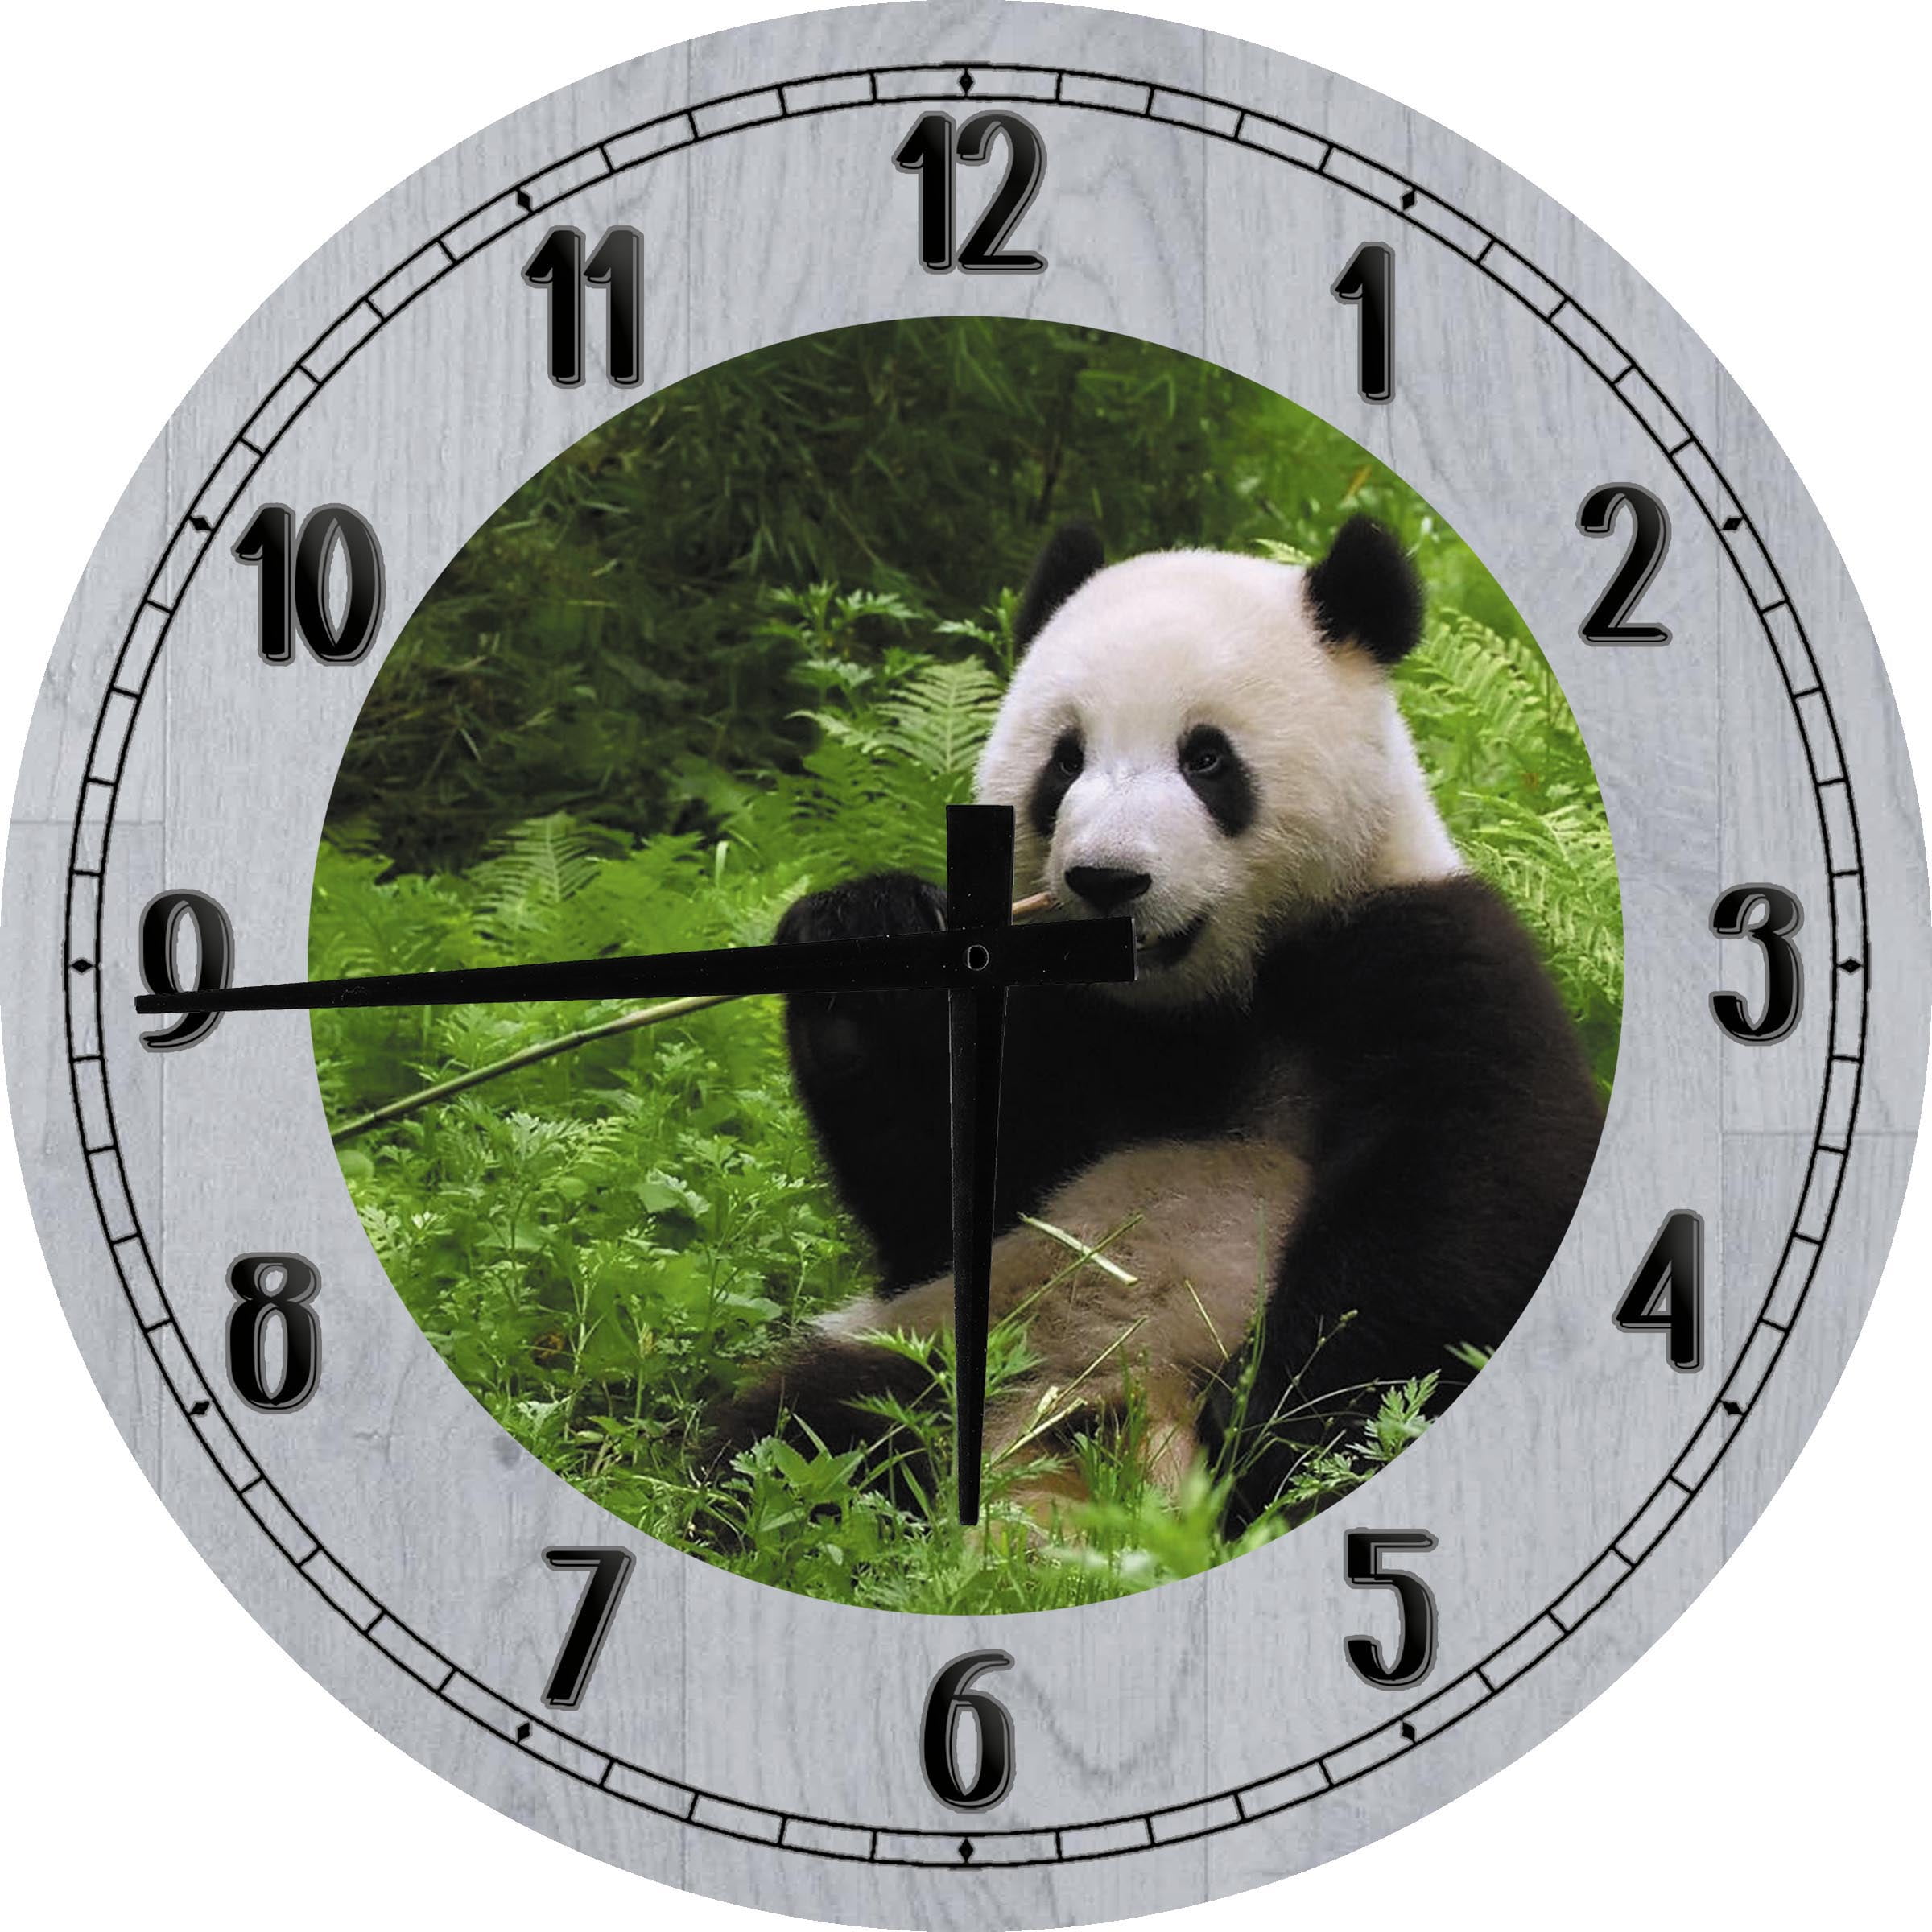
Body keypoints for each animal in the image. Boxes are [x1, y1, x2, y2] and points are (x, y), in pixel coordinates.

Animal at [711, 514, 1605, 1529]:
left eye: (1206, 759)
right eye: (1064, 760)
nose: (1106, 880)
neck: (1201, 1003)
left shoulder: (1420, 954)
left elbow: (1458, 1204)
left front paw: (1272, 1430)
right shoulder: (1064, 1024)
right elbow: (939, 1202)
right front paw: (870, 933)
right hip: (954, 1340)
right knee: (803, 1433)